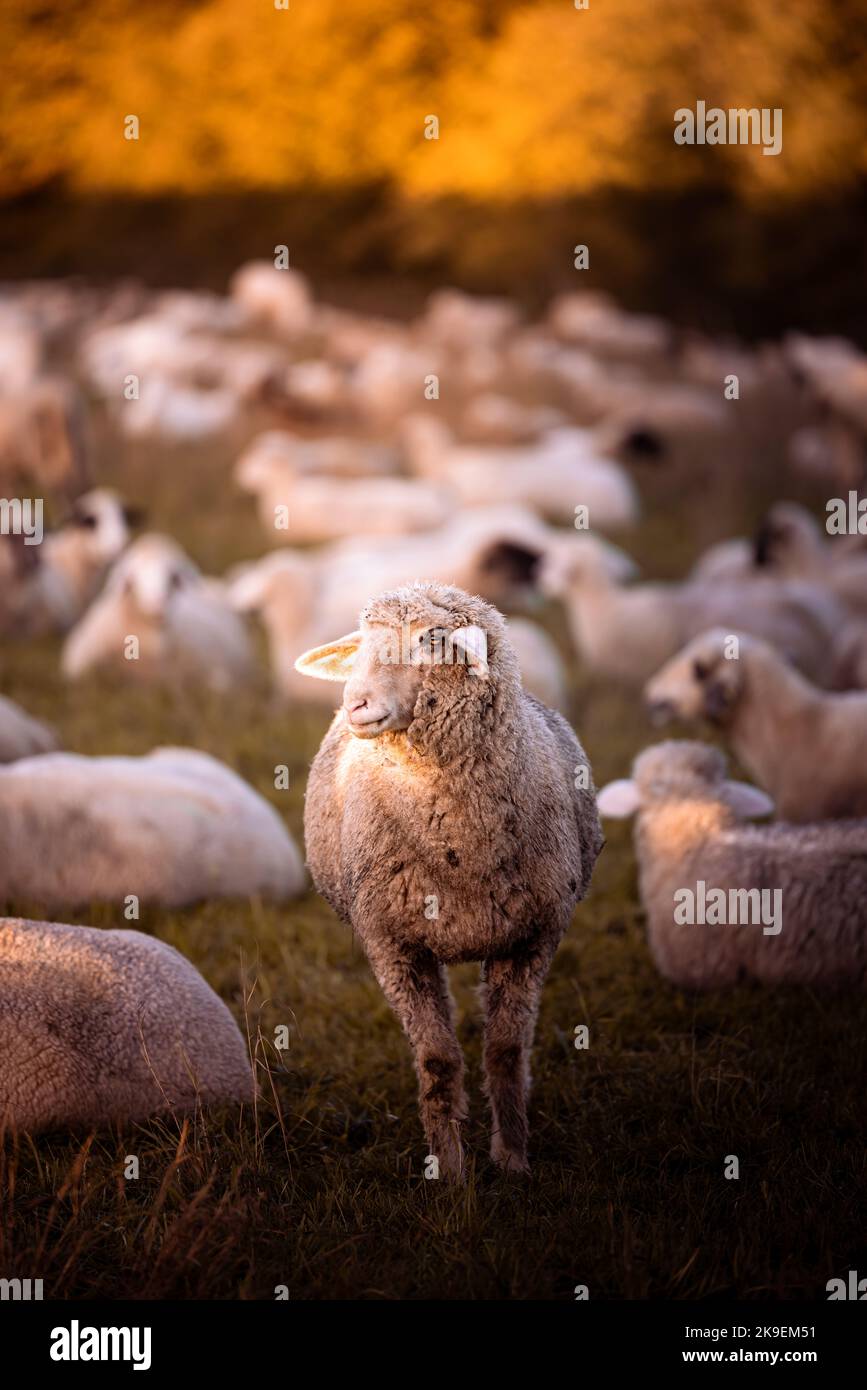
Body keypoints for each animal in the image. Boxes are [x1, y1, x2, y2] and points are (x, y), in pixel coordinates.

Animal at [295, 582, 603, 1178]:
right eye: (362, 643)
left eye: (430, 640)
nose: (355, 703)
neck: (462, 847)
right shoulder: (394, 942)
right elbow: (437, 1059)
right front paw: (452, 1171)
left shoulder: (533, 937)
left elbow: (506, 1051)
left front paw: (512, 1158)